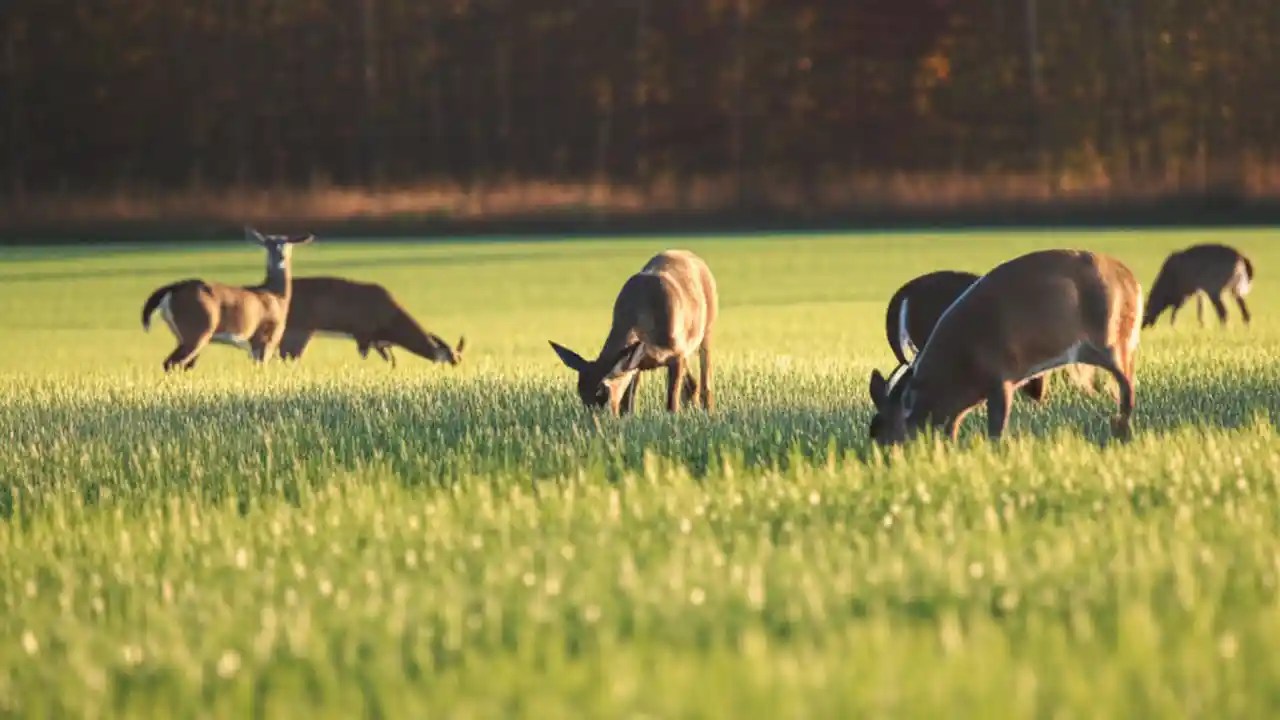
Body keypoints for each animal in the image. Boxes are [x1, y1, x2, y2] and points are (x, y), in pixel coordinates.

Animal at [141, 227, 312, 371]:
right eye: (268, 244)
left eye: (287, 245)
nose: (281, 257)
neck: (276, 296)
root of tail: (172, 288)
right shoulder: (266, 336)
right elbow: (260, 367)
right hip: (197, 328)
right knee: (171, 362)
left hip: (182, 334)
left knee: (182, 364)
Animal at [276, 277, 465, 367]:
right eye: (450, 357)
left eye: (458, 357)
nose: (456, 364)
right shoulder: (363, 335)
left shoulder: (379, 343)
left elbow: (391, 361)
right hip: (299, 328)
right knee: (287, 353)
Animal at [549, 249, 717, 416]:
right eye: (581, 392)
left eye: (603, 391)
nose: (595, 419)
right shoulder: (636, 364)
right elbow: (628, 404)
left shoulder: (677, 354)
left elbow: (672, 403)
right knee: (692, 384)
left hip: (707, 330)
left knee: (705, 380)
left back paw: (708, 411)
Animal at [868, 249, 1142, 446]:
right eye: (874, 432)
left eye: (889, 436)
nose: (884, 460)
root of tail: (1133, 281)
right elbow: (952, 427)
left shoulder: (1000, 377)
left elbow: (996, 430)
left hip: (1113, 340)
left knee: (1127, 383)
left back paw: (1121, 432)